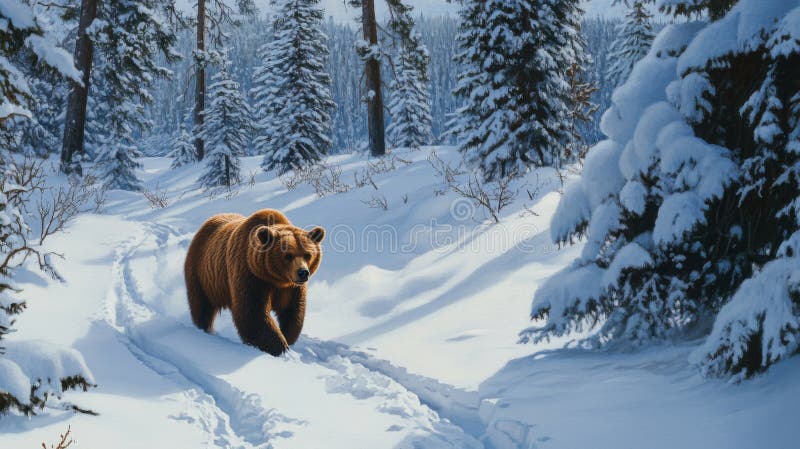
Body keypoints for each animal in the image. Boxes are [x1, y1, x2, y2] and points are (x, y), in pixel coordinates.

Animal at [184, 209, 325, 356]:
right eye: (288, 255)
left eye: (308, 254)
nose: (303, 272)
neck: (276, 279)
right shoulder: (250, 275)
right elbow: (253, 313)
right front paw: (280, 346)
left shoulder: (292, 288)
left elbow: (293, 312)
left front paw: (287, 338)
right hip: (203, 275)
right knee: (202, 306)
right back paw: (205, 329)